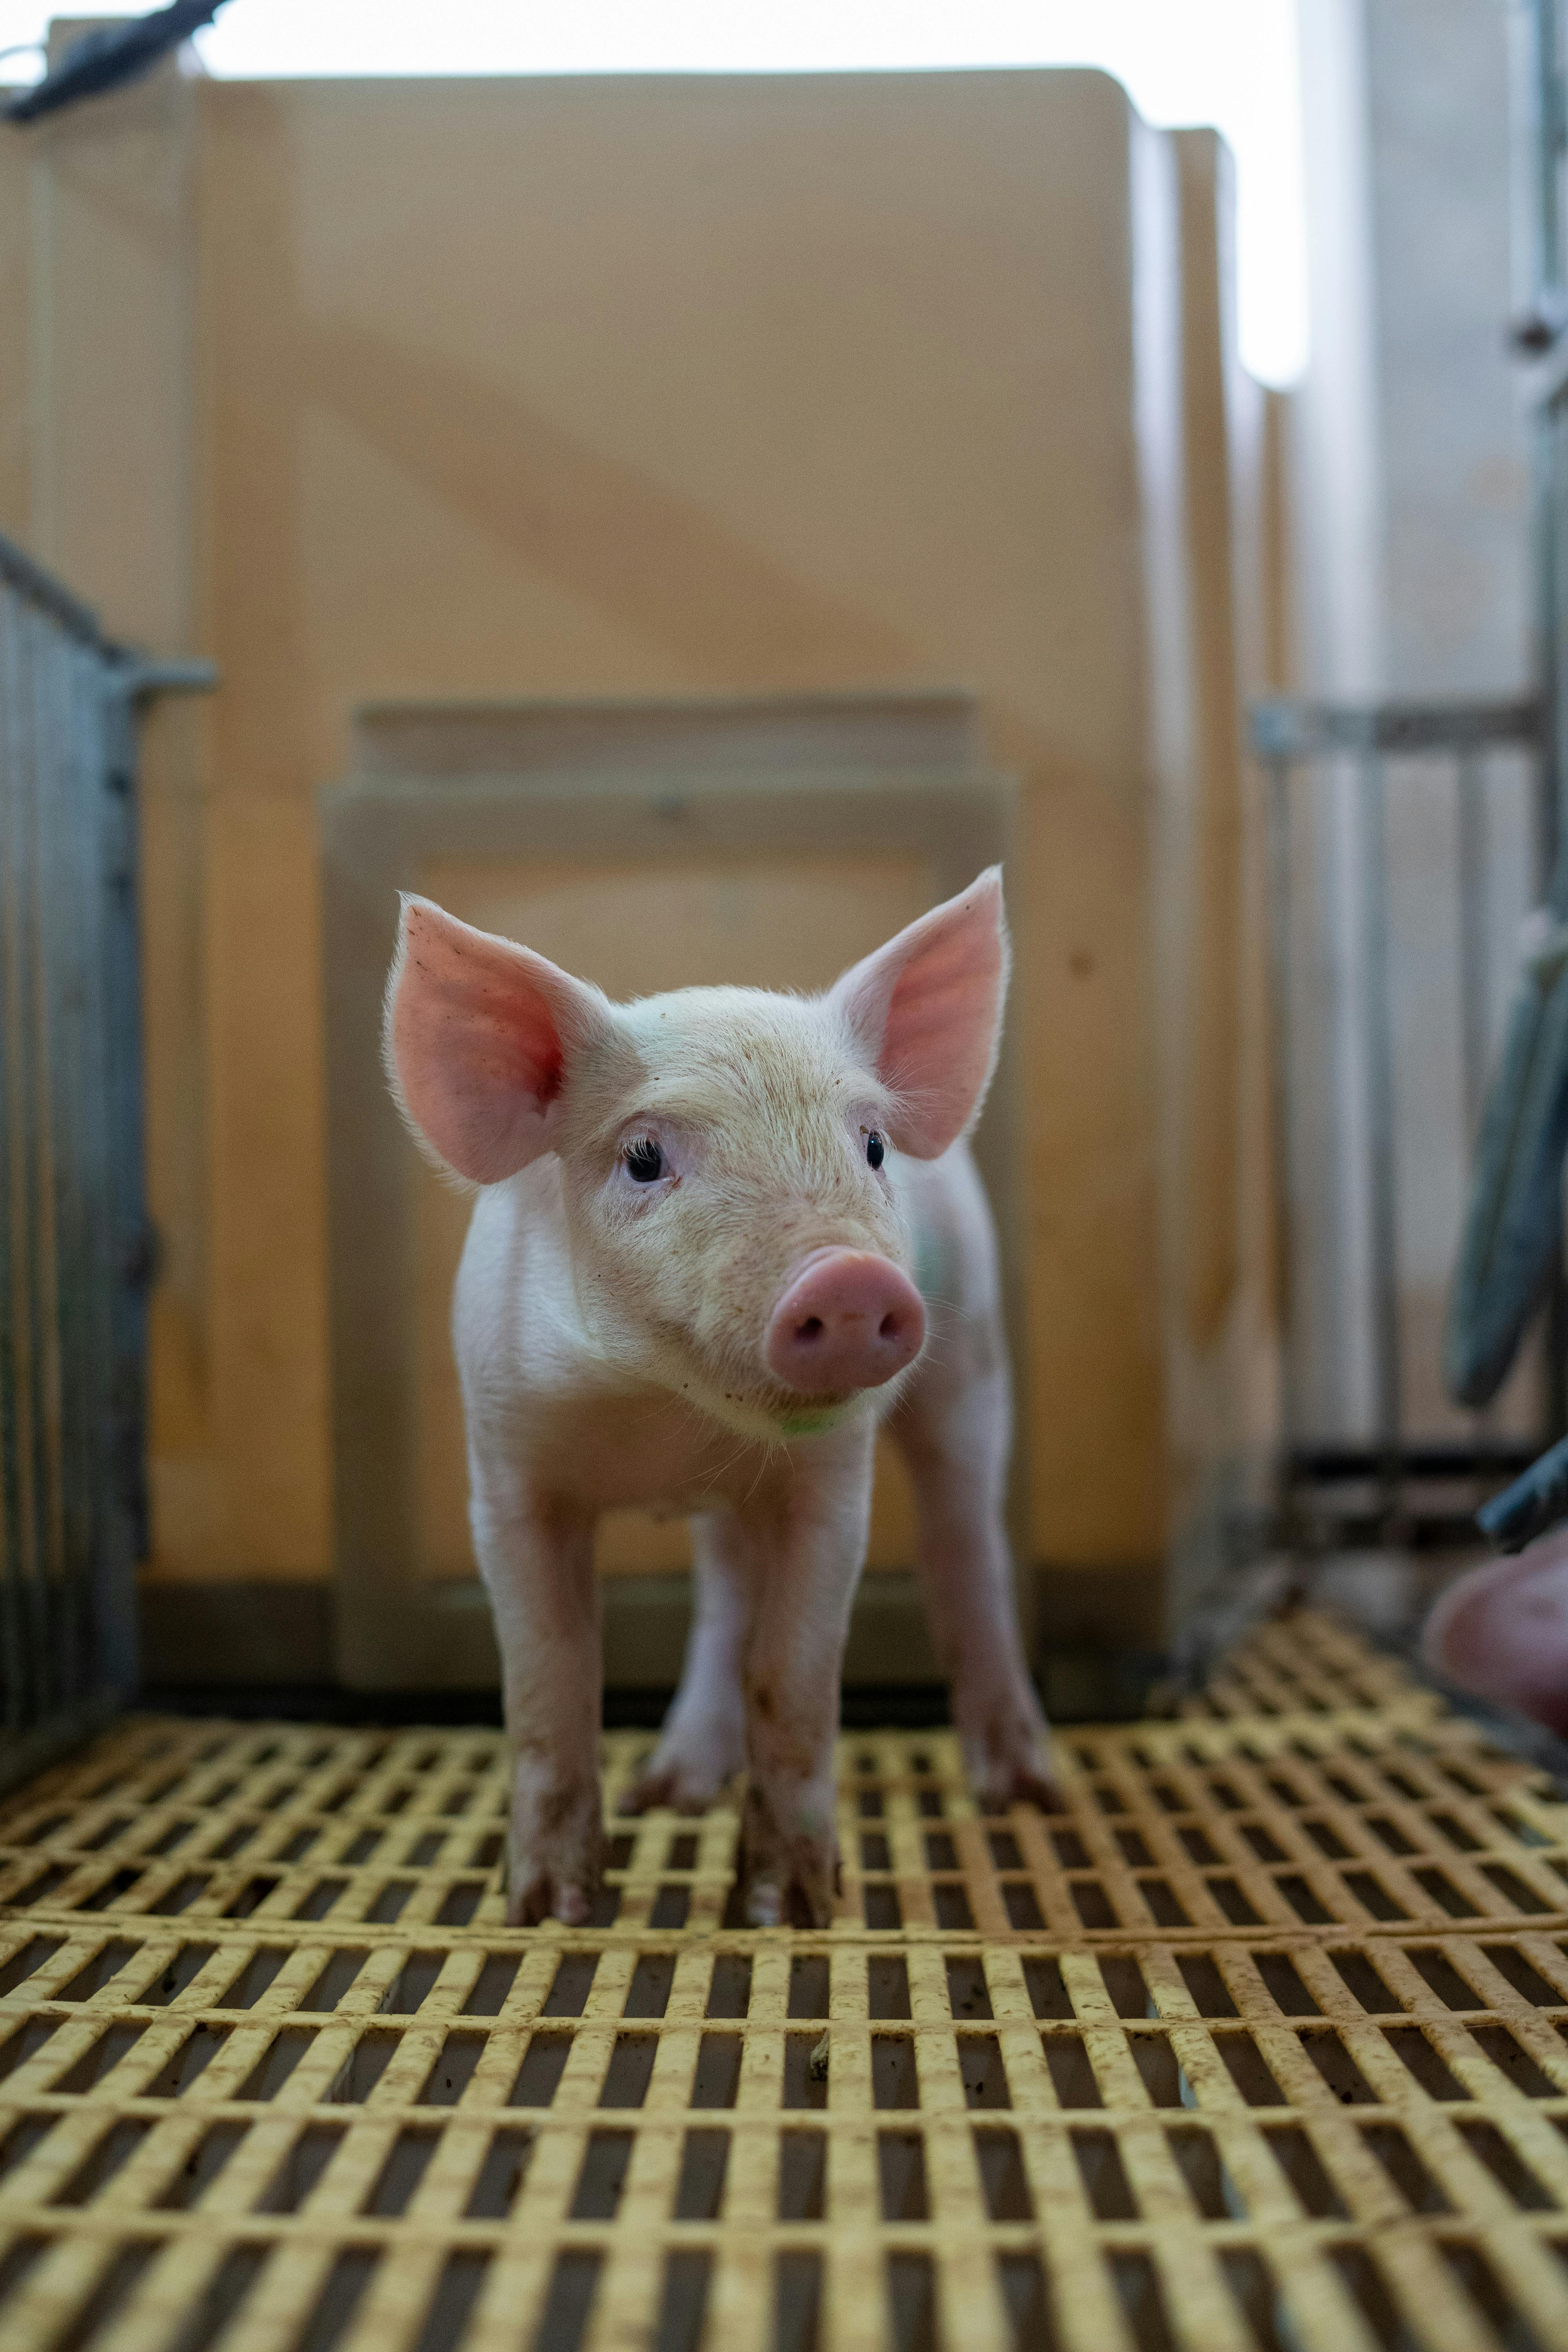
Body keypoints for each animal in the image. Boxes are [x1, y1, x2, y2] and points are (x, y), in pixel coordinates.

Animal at [385, 869, 1056, 1927]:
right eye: (643, 1157)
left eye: (871, 1145)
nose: (848, 1279)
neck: (666, 1418)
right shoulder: (505, 1468)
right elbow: (547, 1680)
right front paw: (549, 1911)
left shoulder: (830, 1483)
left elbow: (793, 1676)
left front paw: (790, 1912)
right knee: (728, 1586)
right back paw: (668, 1793)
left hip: (976, 1356)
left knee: (965, 1543)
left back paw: (1023, 1795)